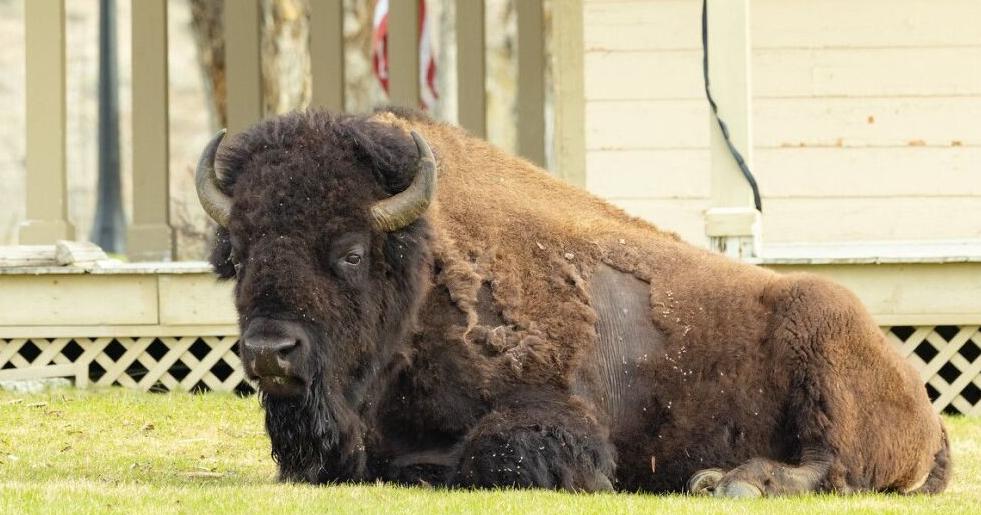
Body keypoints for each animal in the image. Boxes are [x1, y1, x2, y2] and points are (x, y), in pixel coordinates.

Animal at [194, 108, 949, 496]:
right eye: (238, 251)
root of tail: (923, 402)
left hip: (824, 355)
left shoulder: (558, 416)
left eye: (350, 250)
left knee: (832, 467)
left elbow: (490, 456)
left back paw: (727, 481)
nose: (270, 350)